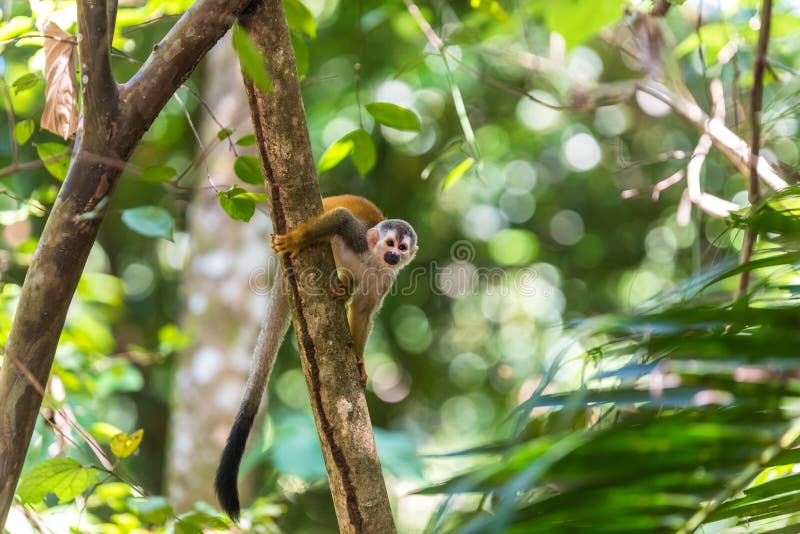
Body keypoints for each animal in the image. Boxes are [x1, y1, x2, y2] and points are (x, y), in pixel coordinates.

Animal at [214, 194, 417, 521]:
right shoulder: (358, 239)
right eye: (389, 243)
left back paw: (344, 288)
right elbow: (342, 218)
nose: (393, 256)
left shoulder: (386, 277)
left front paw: (359, 360)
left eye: (402, 247)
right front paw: (297, 239)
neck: (371, 260)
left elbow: (364, 309)